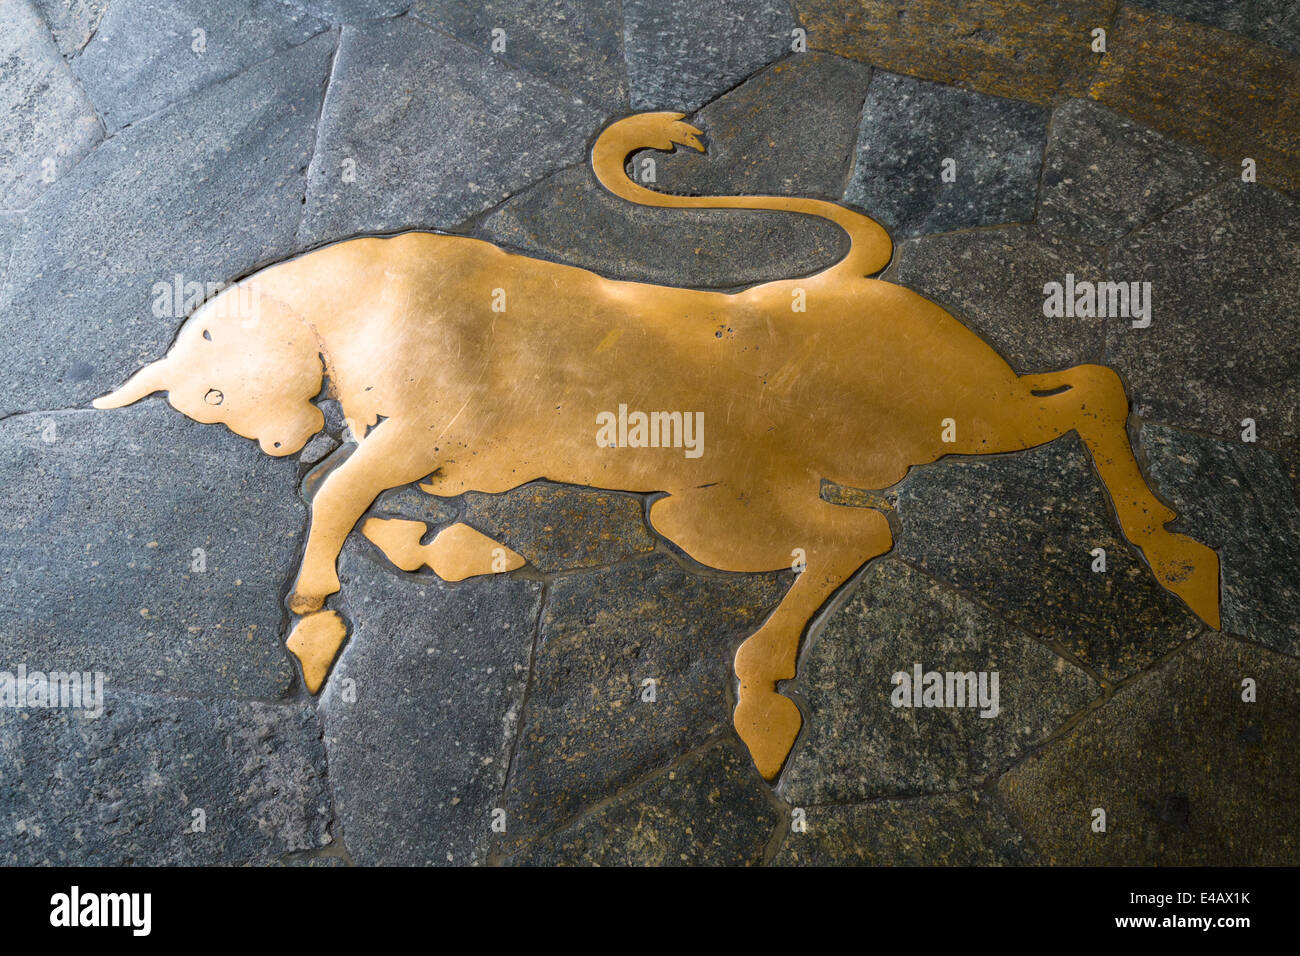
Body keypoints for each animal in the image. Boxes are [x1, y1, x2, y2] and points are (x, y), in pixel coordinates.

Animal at [94, 112, 1220, 781]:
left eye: (213, 388)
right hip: (711, 507)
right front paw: (441, 555)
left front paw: (314, 619)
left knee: (1092, 390)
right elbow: (362, 509)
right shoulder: (435, 457)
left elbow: (331, 503)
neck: (362, 301)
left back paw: (1176, 555)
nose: (277, 443)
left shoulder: (416, 430)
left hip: (943, 414)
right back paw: (764, 694)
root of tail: (843, 282)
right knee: (859, 534)